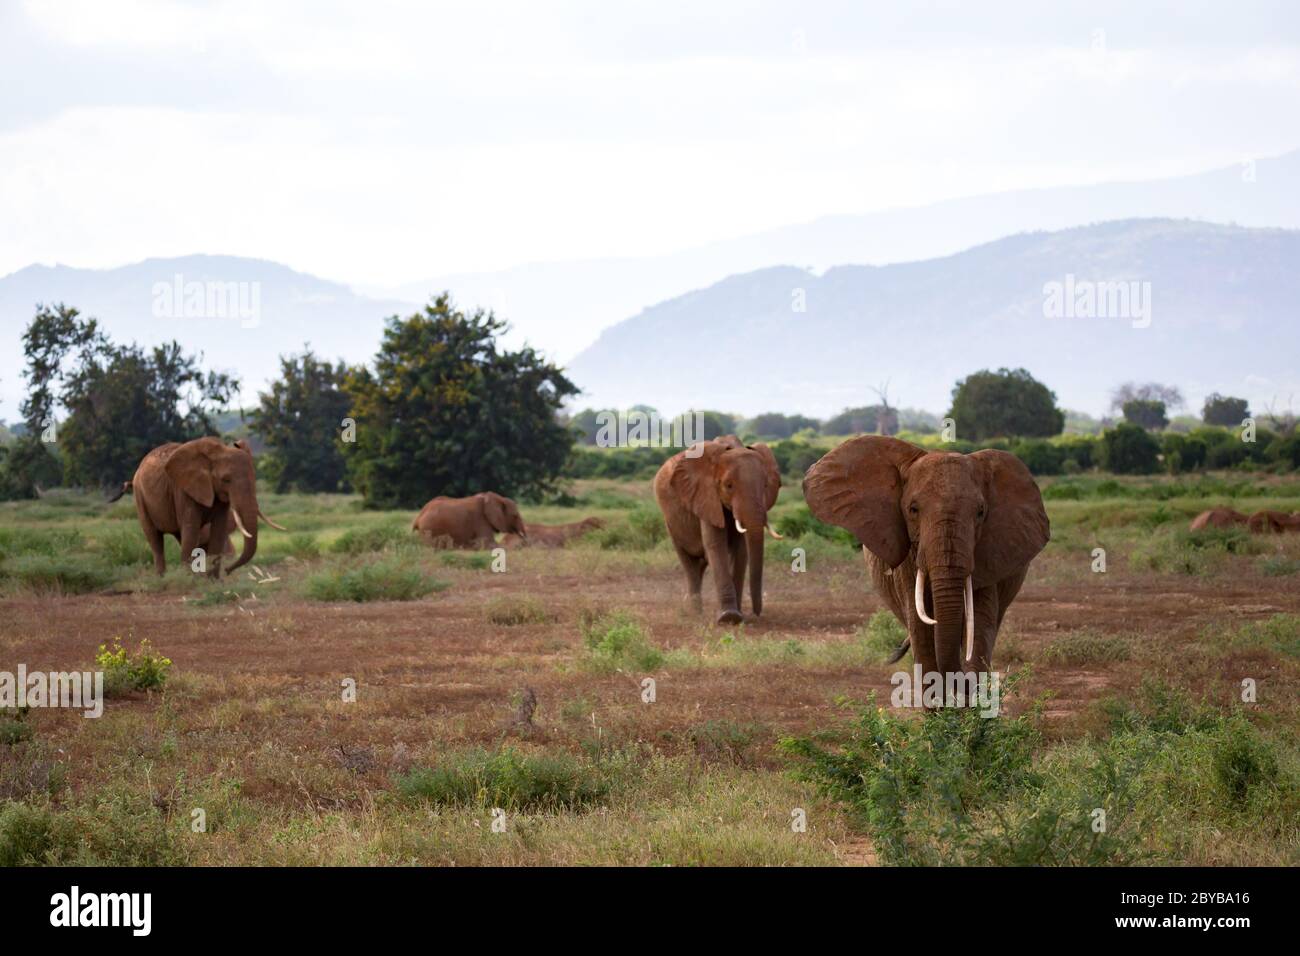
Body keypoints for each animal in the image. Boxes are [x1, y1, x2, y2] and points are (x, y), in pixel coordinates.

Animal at [125, 437, 286, 577]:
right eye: (226, 480)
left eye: (254, 477)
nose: (227, 570)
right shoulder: (184, 490)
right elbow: (191, 528)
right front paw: (189, 581)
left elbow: (218, 530)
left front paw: (212, 581)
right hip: (139, 496)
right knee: (155, 539)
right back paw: (162, 579)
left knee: (180, 537)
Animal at [653, 435, 781, 625]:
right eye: (728, 485)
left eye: (766, 485)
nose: (757, 612)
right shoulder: (705, 497)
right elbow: (716, 544)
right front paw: (729, 617)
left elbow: (740, 550)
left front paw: (738, 616)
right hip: (671, 522)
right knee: (689, 563)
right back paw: (695, 613)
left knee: (700, 565)